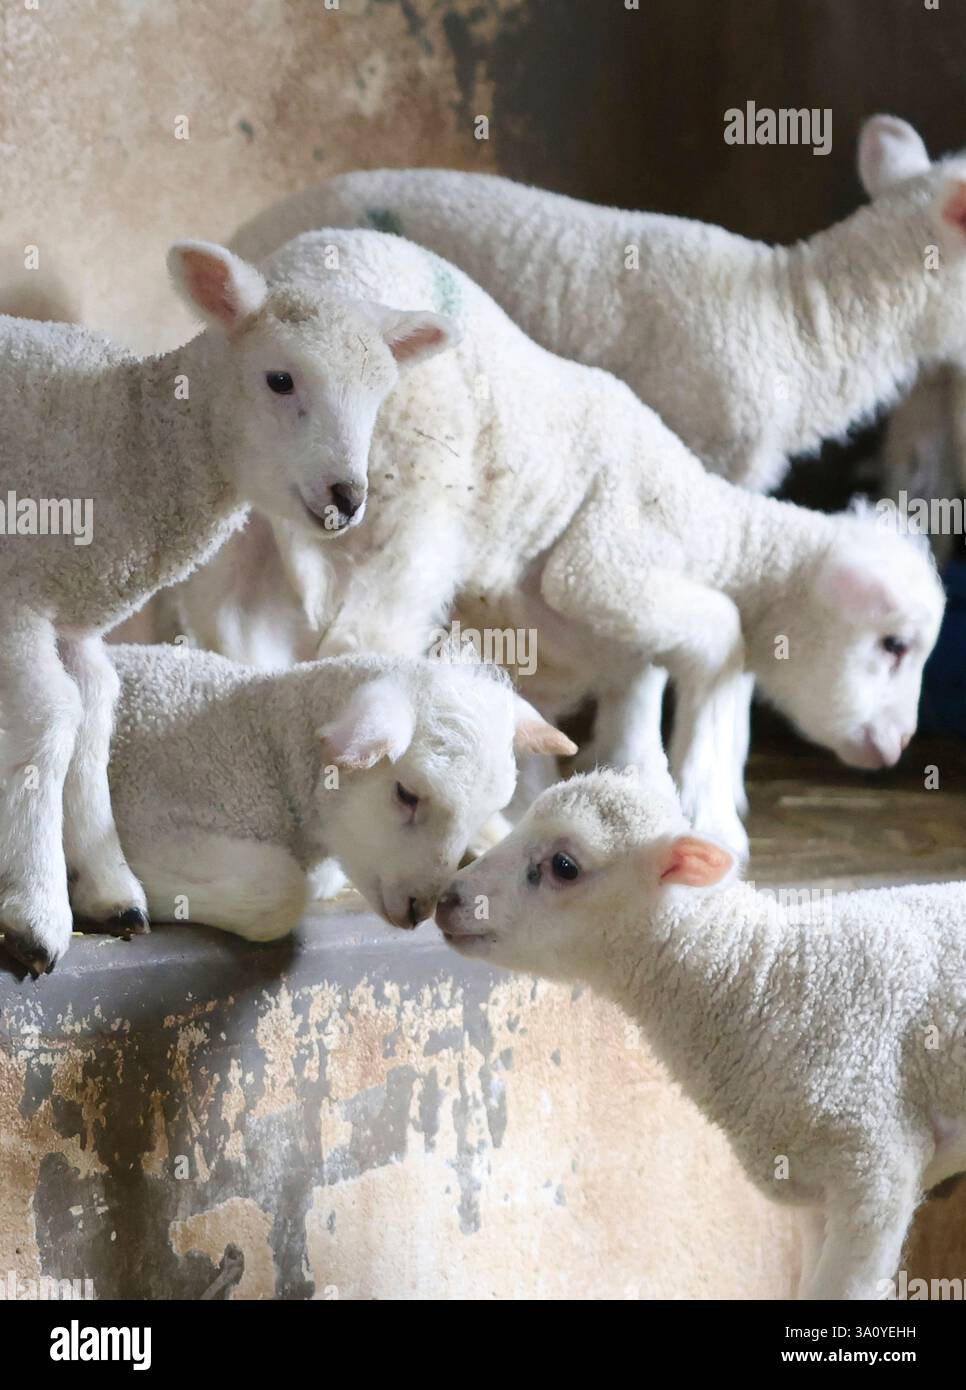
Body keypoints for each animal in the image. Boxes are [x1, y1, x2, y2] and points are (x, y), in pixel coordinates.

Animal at [0, 239, 455, 975]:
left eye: (379, 397)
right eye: (280, 380)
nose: (348, 496)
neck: (128, 439)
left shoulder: (75, 617)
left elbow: (94, 719)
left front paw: (109, 888)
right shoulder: (15, 594)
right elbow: (49, 722)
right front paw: (35, 910)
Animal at [161, 228, 946, 861]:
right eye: (894, 645)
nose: (896, 746)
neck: (707, 528)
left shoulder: (558, 652)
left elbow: (600, 717)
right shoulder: (606, 563)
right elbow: (720, 636)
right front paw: (710, 811)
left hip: (242, 519)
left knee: (240, 639)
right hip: (416, 501)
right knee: (367, 641)